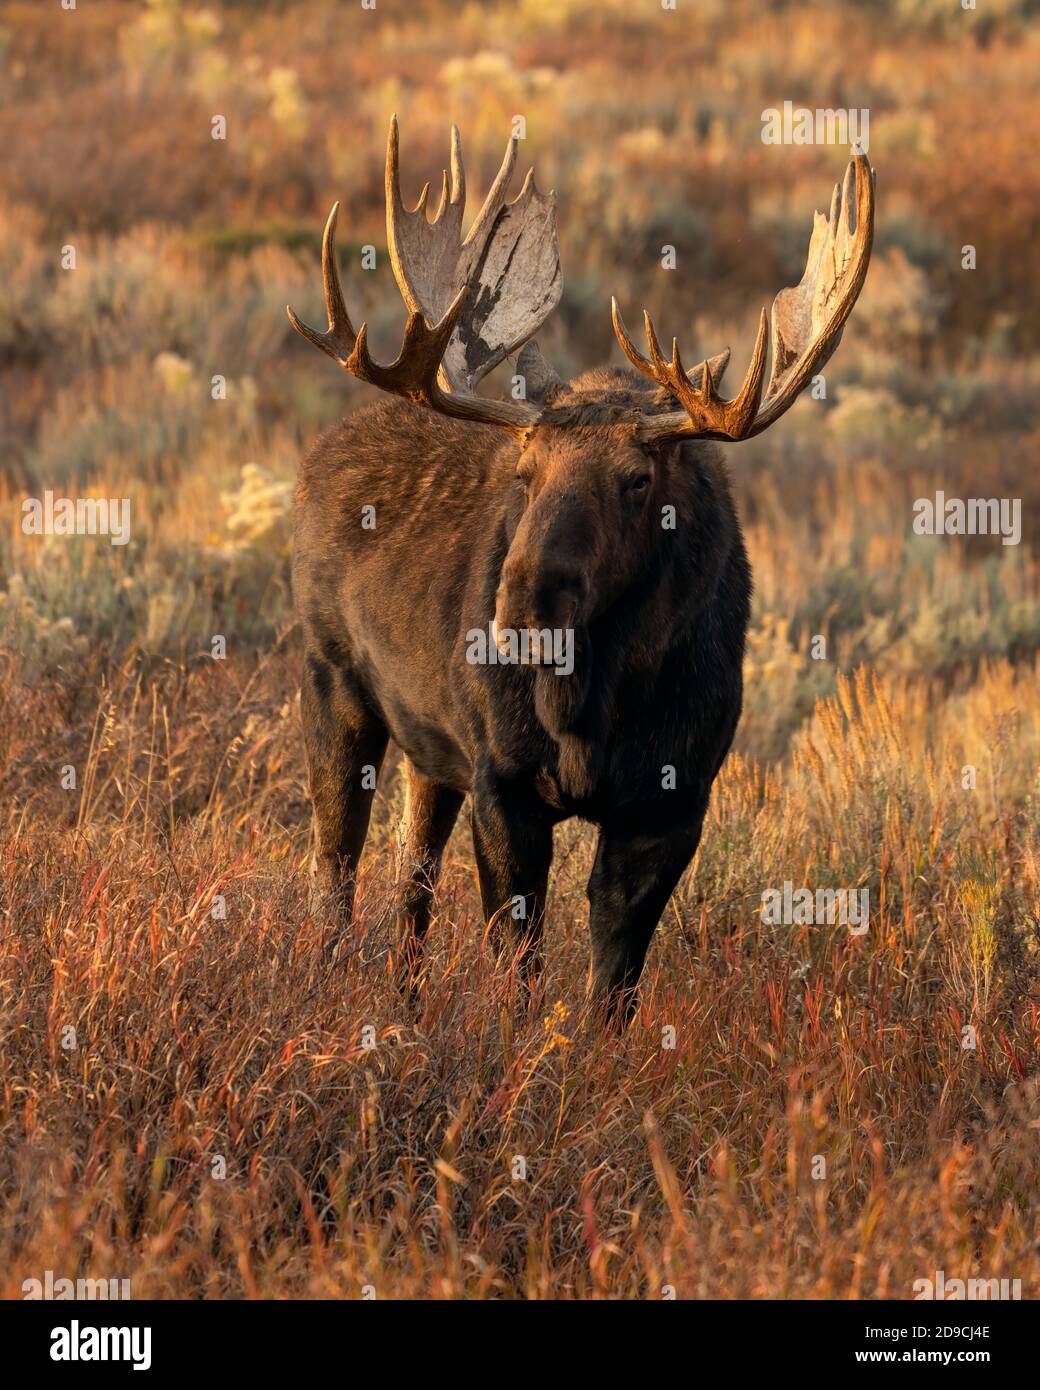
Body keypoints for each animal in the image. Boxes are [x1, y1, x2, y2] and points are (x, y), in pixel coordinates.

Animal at [287, 117, 874, 1026]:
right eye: (523, 472)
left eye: (637, 481)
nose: (524, 612)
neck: (592, 706)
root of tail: (319, 457)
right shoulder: (504, 782)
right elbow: (517, 963)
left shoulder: (673, 802)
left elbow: (613, 979)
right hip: (333, 683)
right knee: (336, 868)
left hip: (427, 749)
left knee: (410, 878)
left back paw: (404, 1005)